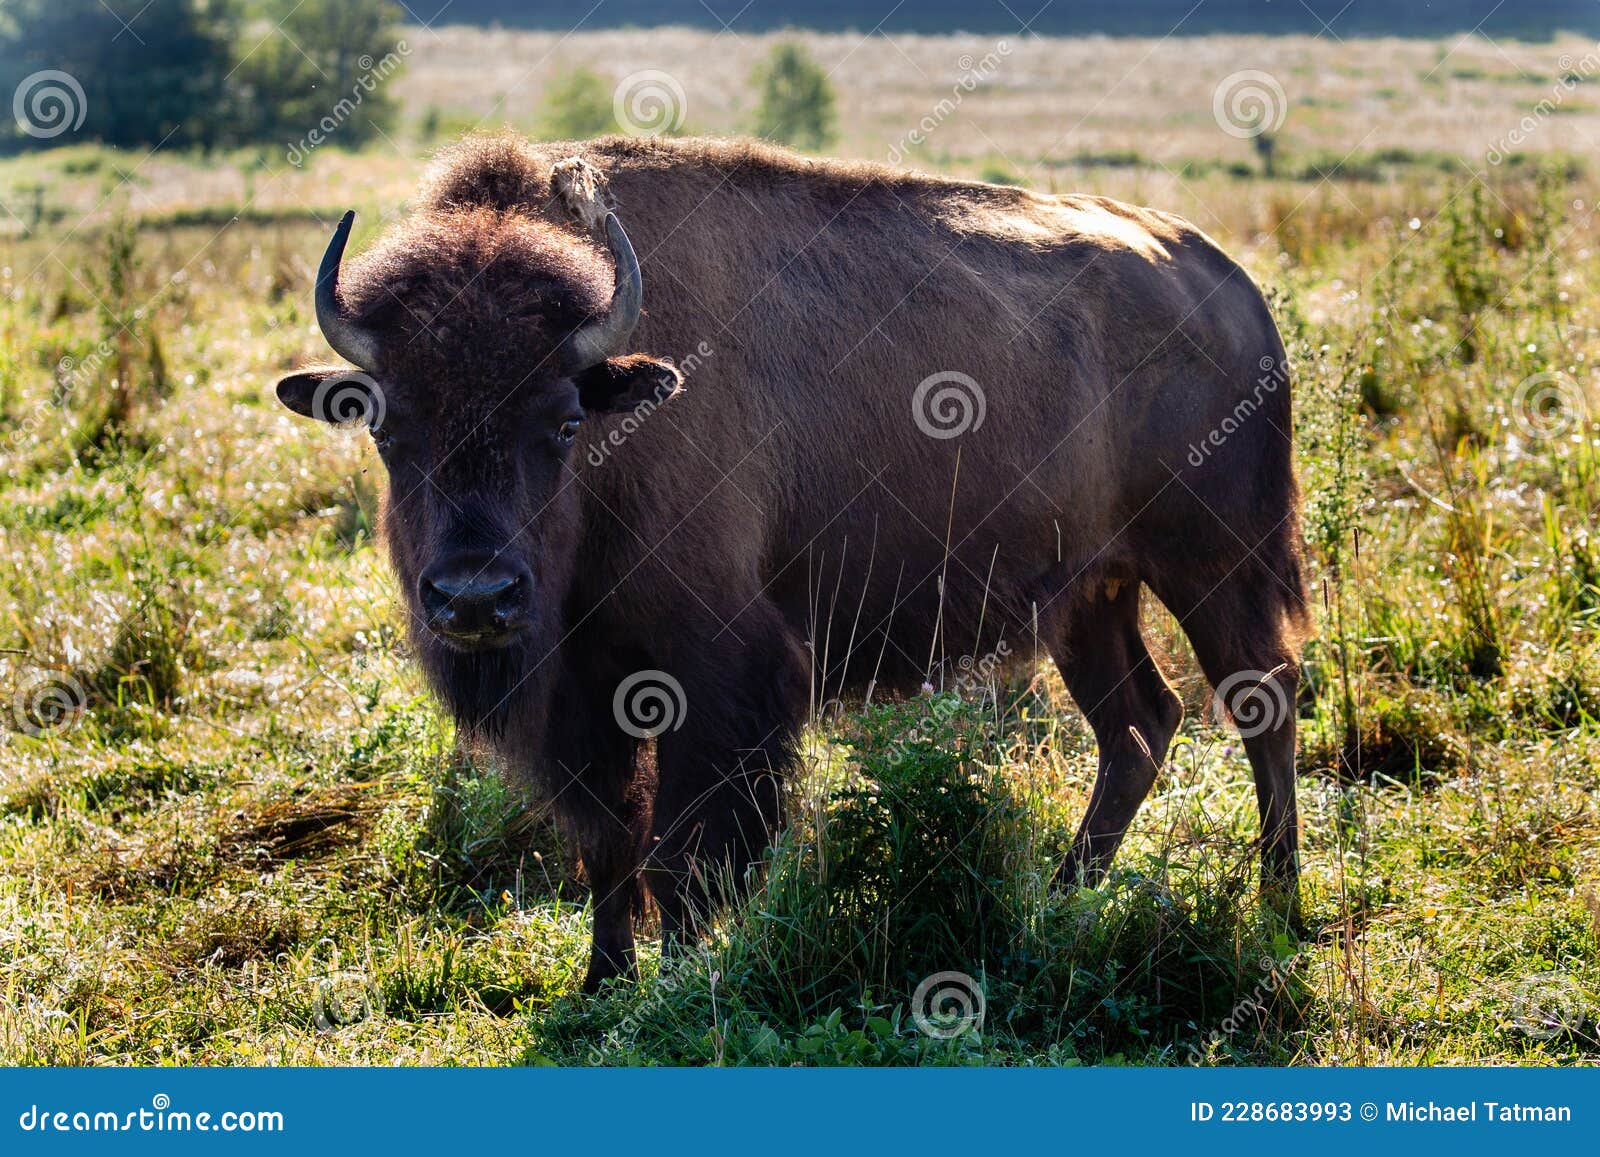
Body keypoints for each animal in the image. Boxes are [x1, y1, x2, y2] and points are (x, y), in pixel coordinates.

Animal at [277, 133, 1307, 991]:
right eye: (389, 428)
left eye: (564, 422)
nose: (474, 598)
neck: (622, 418)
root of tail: (1228, 286)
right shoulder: (585, 692)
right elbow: (609, 841)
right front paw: (602, 983)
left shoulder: (714, 671)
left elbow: (686, 846)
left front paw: (681, 981)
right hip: (1092, 595)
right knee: (1140, 723)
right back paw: (1061, 901)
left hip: (1213, 565)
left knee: (1264, 701)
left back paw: (1276, 908)